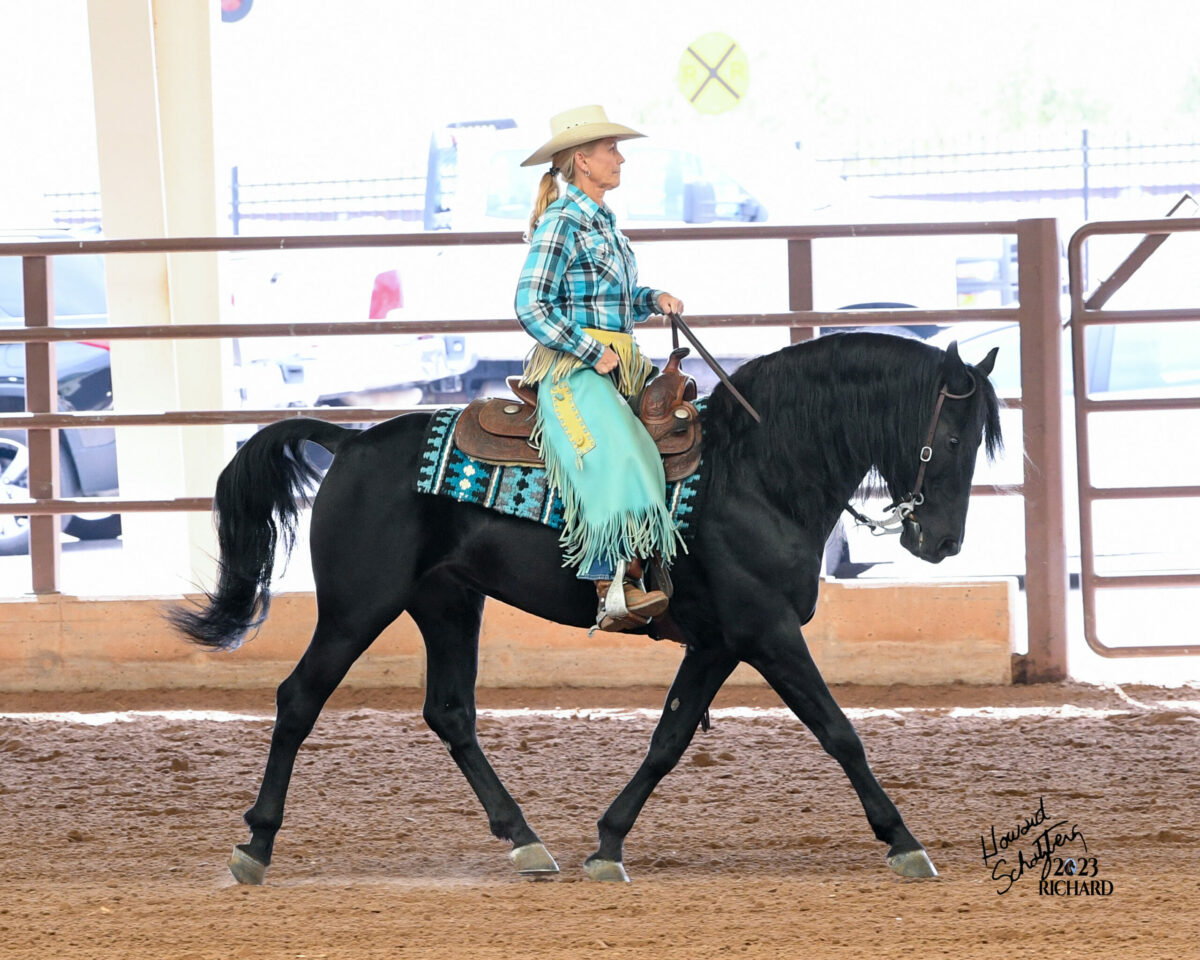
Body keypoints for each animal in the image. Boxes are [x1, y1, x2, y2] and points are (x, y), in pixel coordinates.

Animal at [170, 331, 1001, 885]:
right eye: (954, 435)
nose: (943, 541)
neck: (759, 470)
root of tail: (349, 445)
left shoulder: (718, 643)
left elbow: (669, 739)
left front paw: (607, 842)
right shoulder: (764, 632)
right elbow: (839, 732)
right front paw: (903, 841)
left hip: (447, 604)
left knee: (450, 713)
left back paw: (524, 838)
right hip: (356, 608)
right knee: (298, 699)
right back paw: (255, 846)